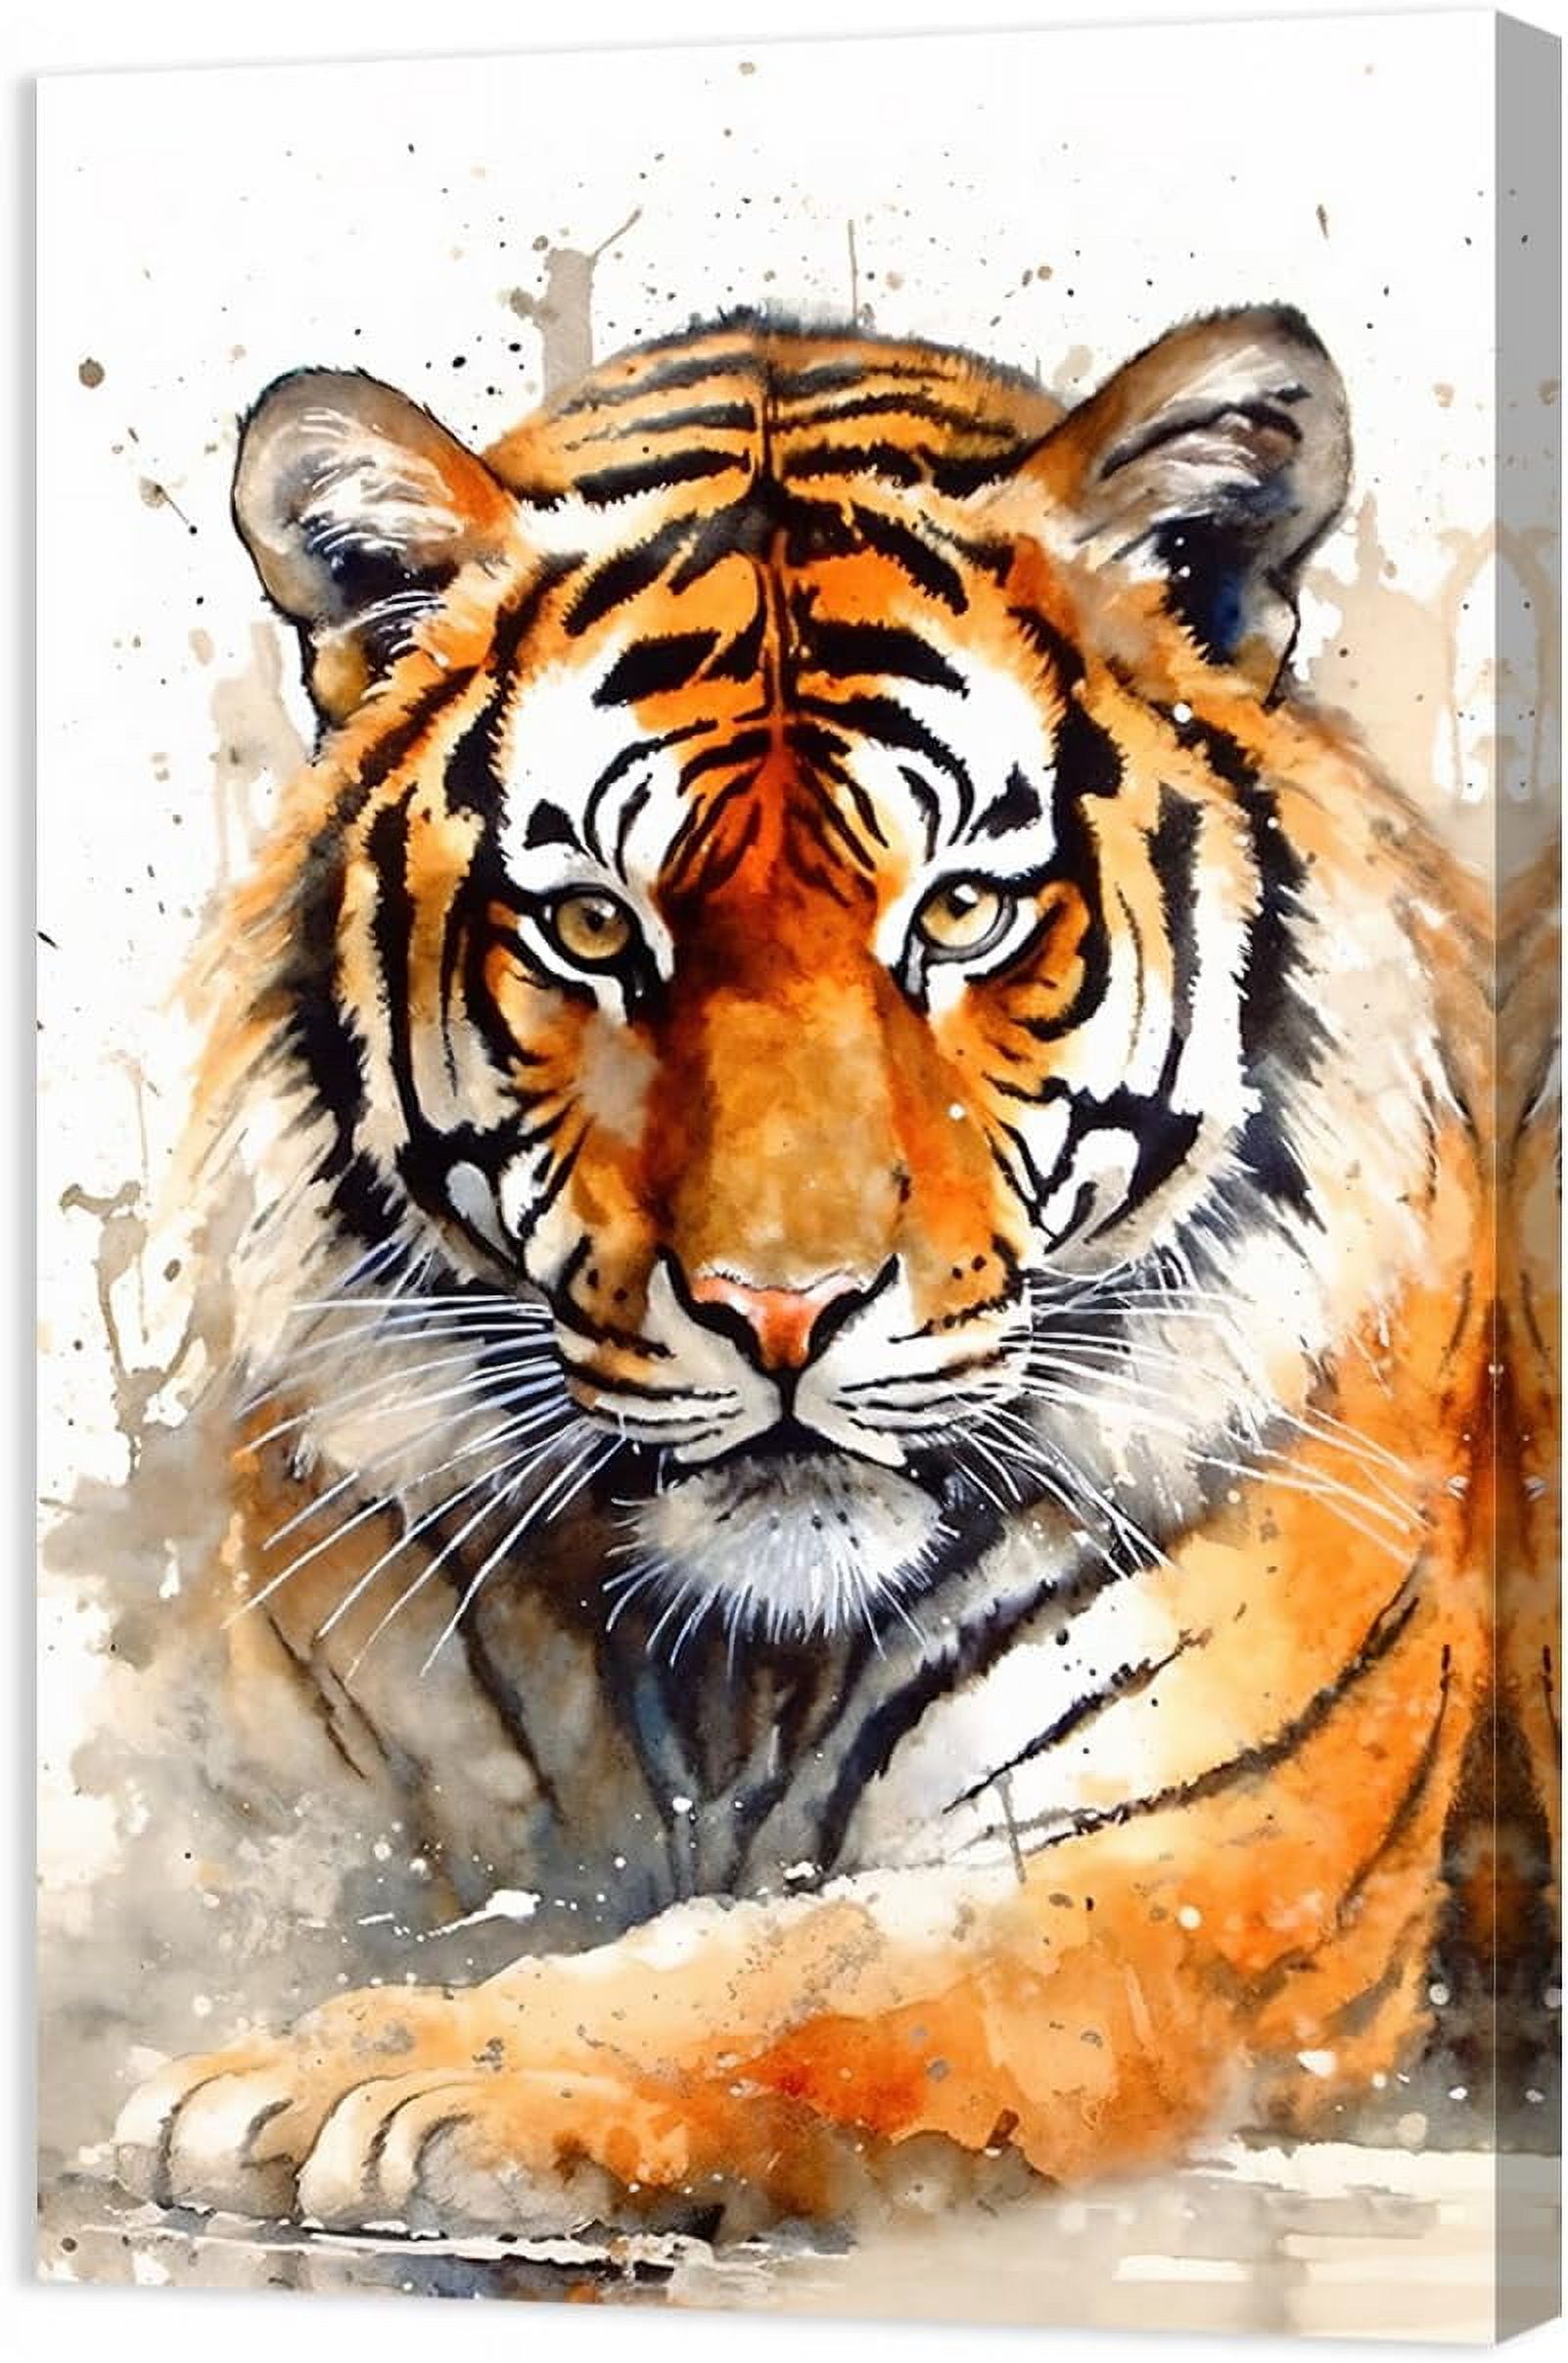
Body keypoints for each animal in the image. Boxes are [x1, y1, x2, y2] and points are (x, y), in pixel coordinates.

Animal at [111, 303, 1512, 2239]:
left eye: (962, 911)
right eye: (594, 925)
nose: (783, 1310)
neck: (736, 1671)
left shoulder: (1181, 1862)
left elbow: (790, 1967)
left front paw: (376, 2075)